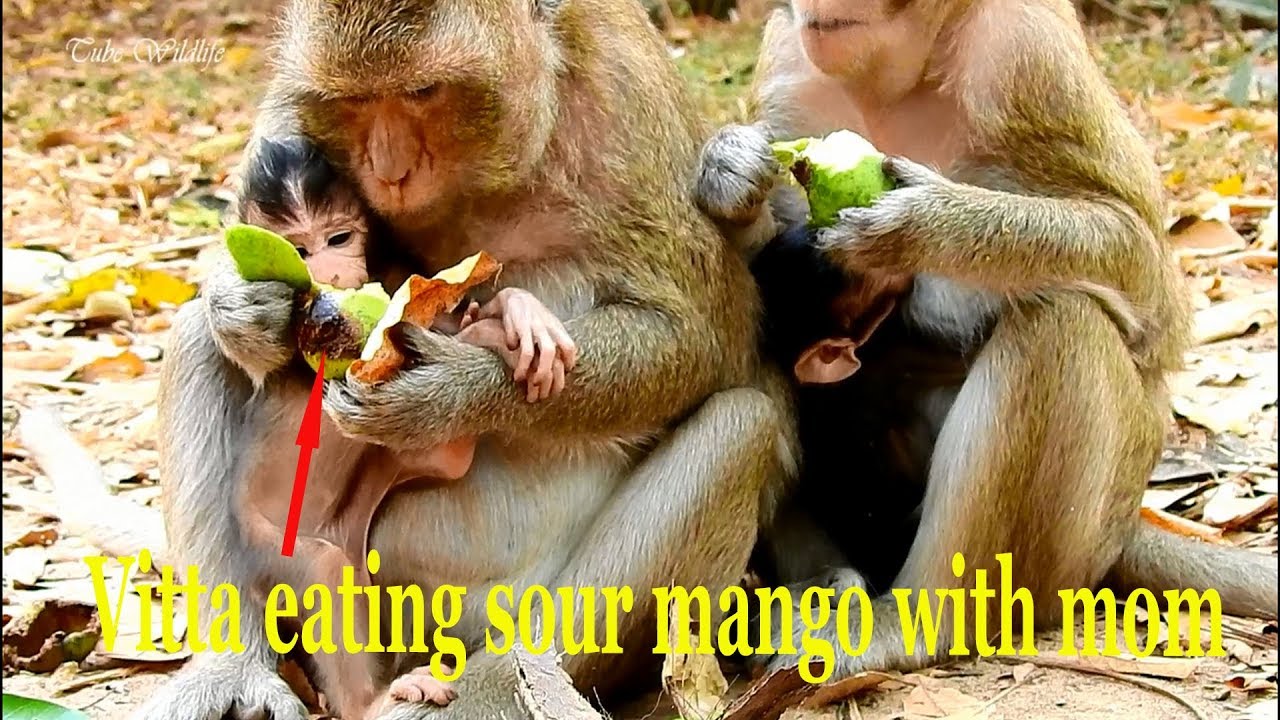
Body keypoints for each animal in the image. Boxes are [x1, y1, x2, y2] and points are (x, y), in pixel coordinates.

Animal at [133, 1, 797, 719]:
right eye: (353, 100)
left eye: (424, 91)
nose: (389, 168)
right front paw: (242, 303)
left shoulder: (626, 104)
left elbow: (700, 338)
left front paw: (452, 392)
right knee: (194, 339)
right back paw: (233, 667)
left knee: (739, 427)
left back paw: (501, 681)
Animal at [695, 0, 1279, 679]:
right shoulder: (790, 64)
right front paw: (731, 173)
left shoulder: (1026, 53)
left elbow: (1142, 268)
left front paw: (926, 222)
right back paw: (823, 588)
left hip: (1079, 542)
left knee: (1059, 318)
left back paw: (919, 621)